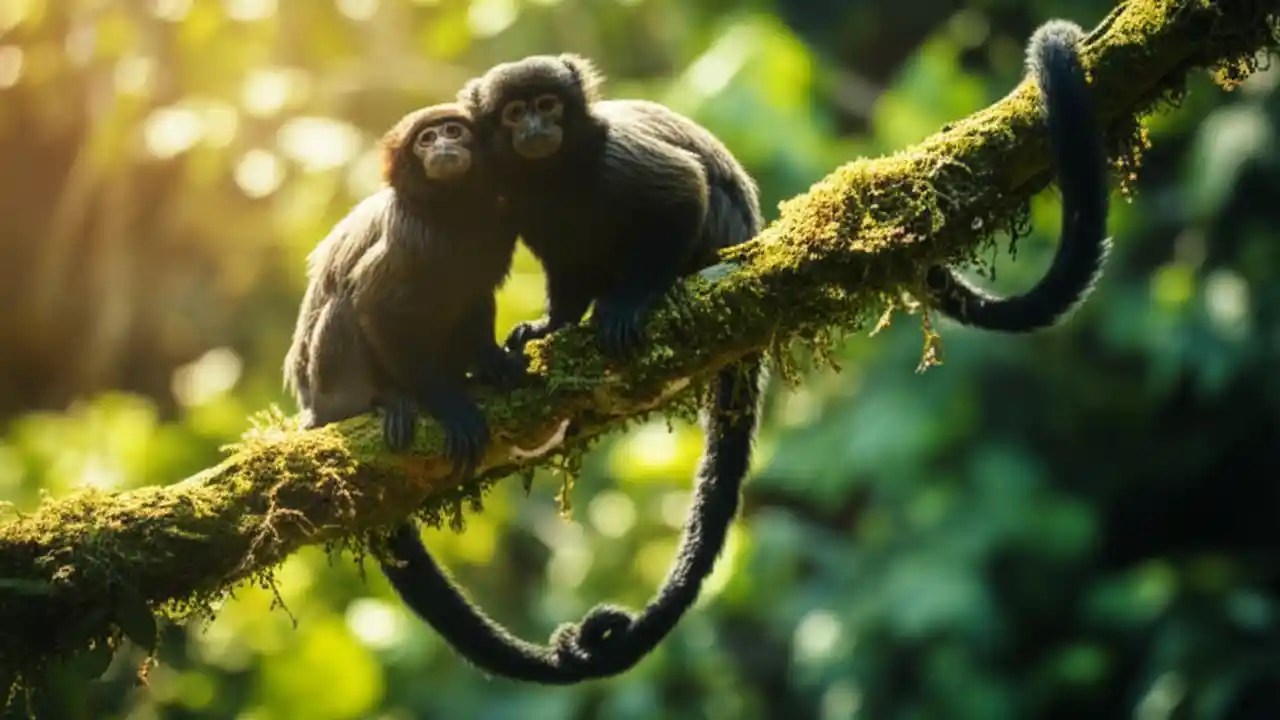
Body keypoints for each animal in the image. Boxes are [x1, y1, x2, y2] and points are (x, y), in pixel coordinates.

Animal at [282, 102, 522, 472]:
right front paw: (447, 404)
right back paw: (383, 398)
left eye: (453, 131)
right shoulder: (407, 234)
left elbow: (475, 295)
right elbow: (373, 306)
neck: (454, 213)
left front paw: (489, 359)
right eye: (427, 139)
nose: (442, 146)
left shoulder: (500, 219)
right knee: (344, 302)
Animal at [379, 18, 1107, 685]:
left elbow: (680, 191)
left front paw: (628, 303)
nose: (534, 128)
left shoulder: (617, 160)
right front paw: (550, 327)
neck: (557, 172)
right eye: (514, 113)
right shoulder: (516, 199)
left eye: (547, 106)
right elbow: (562, 270)